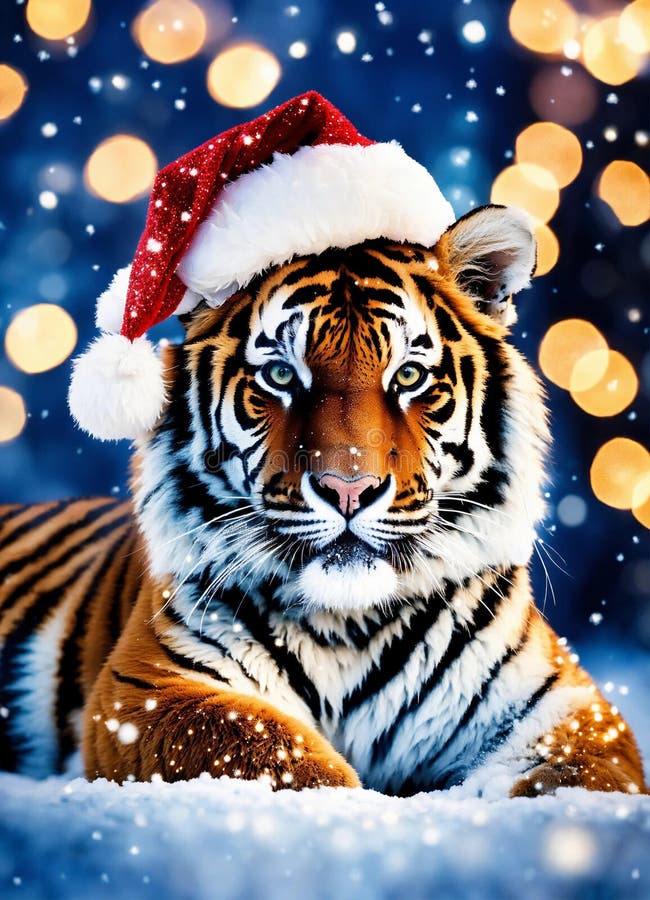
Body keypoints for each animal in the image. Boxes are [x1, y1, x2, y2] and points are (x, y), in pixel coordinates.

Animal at [0, 205, 646, 798]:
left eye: (408, 376)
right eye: (282, 376)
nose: (348, 489)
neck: (349, 627)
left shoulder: (569, 706)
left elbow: (582, 779)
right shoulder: (146, 690)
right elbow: (277, 755)